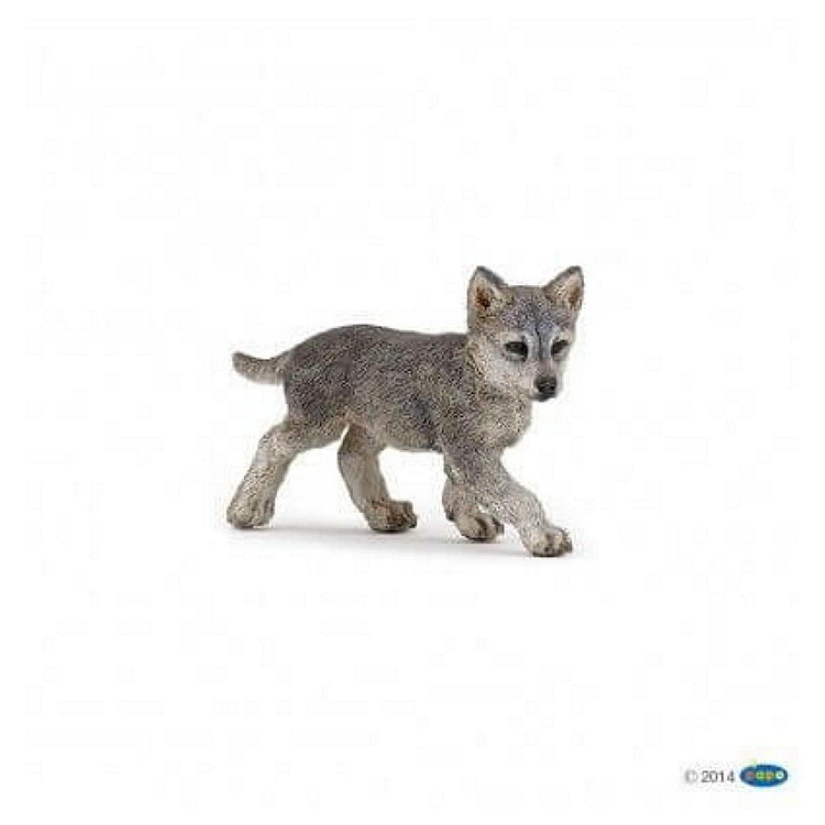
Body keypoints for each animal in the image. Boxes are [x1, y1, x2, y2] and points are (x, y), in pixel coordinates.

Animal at [226, 265, 584, 556]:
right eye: (517, 347)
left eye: (559, 346)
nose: (548, 384)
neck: (482, 375)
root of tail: (296, 349)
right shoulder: (468, 450)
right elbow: (516, 494)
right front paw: (544, 535)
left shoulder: (472, 451)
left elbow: (460, 489)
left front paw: (469, 520)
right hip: (317, 424)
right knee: (272, 442)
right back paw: (247, 507)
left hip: (377, 423)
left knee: (350, 456)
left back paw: (384, 511)